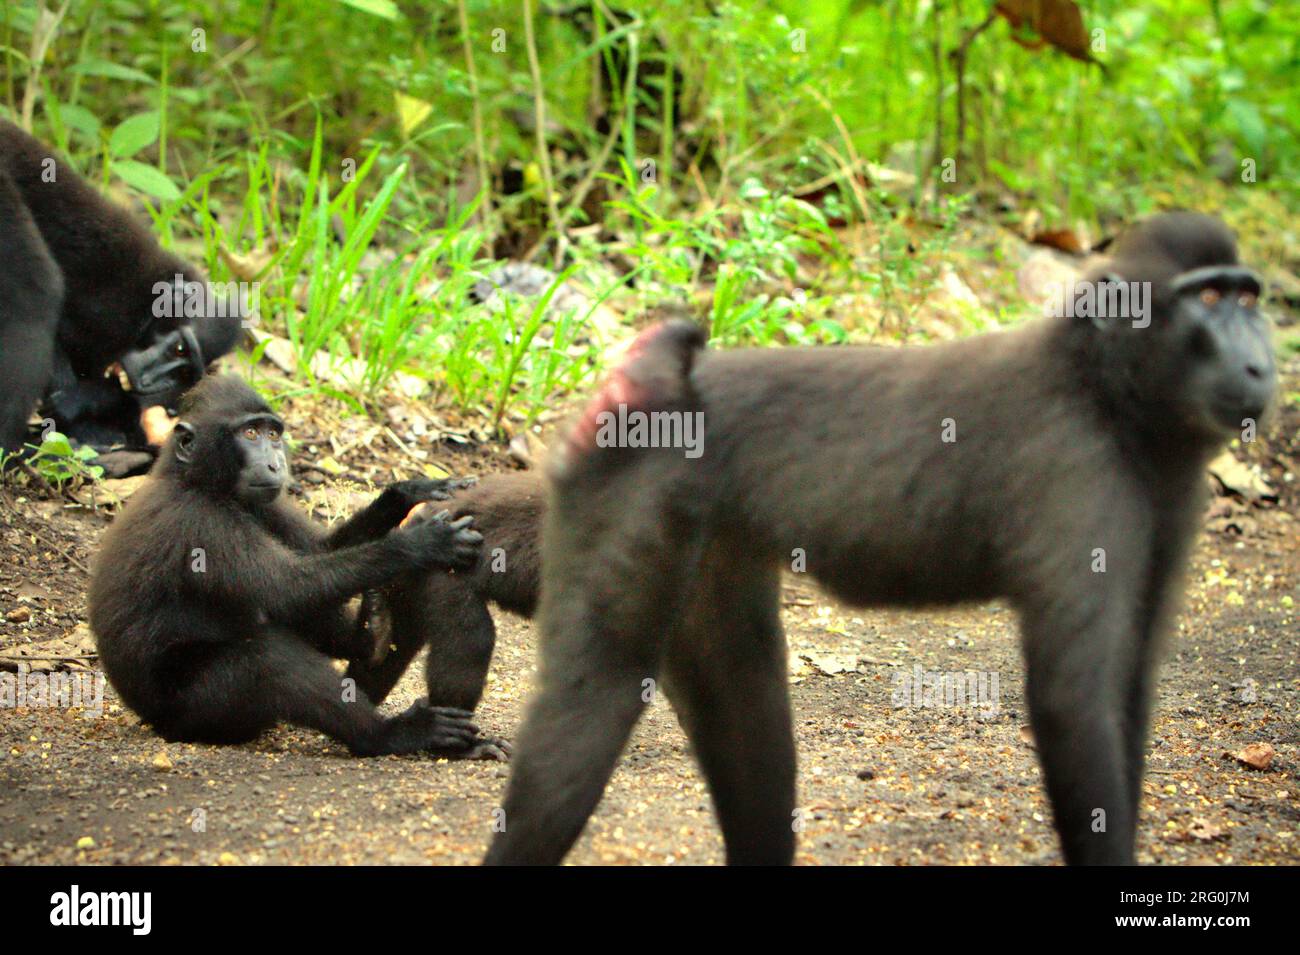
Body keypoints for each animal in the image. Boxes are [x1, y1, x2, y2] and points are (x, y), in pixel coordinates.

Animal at [0, 120, 242, 478]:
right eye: (179, 348)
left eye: (184, 370)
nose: (153, 381)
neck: (148, 298)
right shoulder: (114, 310)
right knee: (35, 293)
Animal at [88, 376, 505, 758]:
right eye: (250, 433)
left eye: (273, 434)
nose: (277, 463)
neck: (192, 479)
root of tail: (153, 722)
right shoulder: (202, 522)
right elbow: (285, 588)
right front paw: (422, 543)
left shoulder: (266, 503)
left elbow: (315, 556)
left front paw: (409, 492)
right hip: (196, 713)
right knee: (269, 660)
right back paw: (389, 735)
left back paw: (371, 636)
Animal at [485, 212, 1277, 865]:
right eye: (1209, 299)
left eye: (1248, 299)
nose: (1263, 365)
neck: (1105, 387)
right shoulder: (1077, 474)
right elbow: (1074, 701)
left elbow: (1129, 686)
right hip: (623, 496)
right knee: (597, 698)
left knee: (747, 716)